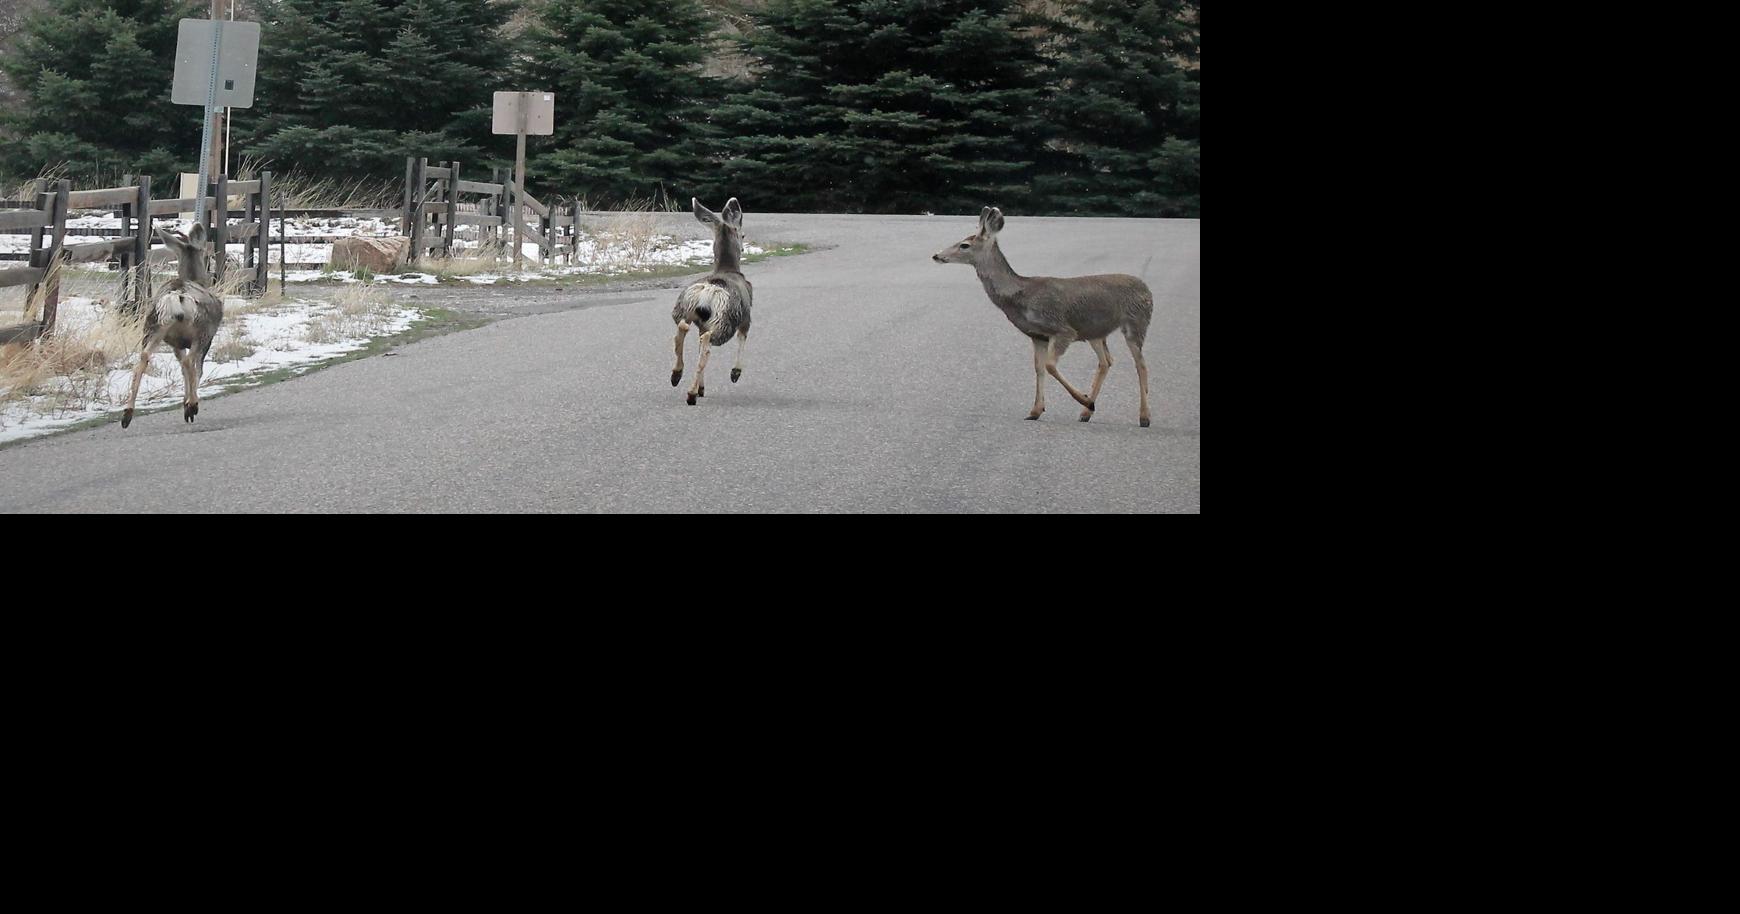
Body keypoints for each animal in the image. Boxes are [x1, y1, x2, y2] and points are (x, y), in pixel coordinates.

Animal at [122, 224, 225, 429]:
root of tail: (177, 296)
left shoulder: (177, 344)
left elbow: (182, 368)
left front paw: (185, 402)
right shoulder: (207, 338)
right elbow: (195, 370)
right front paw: (188, 404)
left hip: (153, 327)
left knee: (144, 357)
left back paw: (127, 413)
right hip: (201, 331)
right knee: (191, 362)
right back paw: (192, 405)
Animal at [671, 198, 753, 406]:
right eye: (742, 234)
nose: (743, 247)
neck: (727, 269)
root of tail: (706, 293)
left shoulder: (702, 324)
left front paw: (702, 387)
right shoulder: (746, 317)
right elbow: (742, 339)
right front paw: (735, 373)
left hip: (684, 308)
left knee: (683, 332)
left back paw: (677, 375)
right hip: (725, 320)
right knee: (706, 344)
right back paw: (690, 392)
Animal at [934, 207, 1155, 427]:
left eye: (964, 245)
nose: (936, 255)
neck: (1019, 295)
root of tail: (1147, 288)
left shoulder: (1062, 329)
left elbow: (1049, 365)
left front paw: (1083, 399)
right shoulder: (1037, 336)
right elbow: (1039, 368)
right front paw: (1035, 411)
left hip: (1136, 321)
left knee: (1141, 364)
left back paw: (1143, 416)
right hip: (1096, 331)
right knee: (1106, 361)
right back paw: (1086, 413)